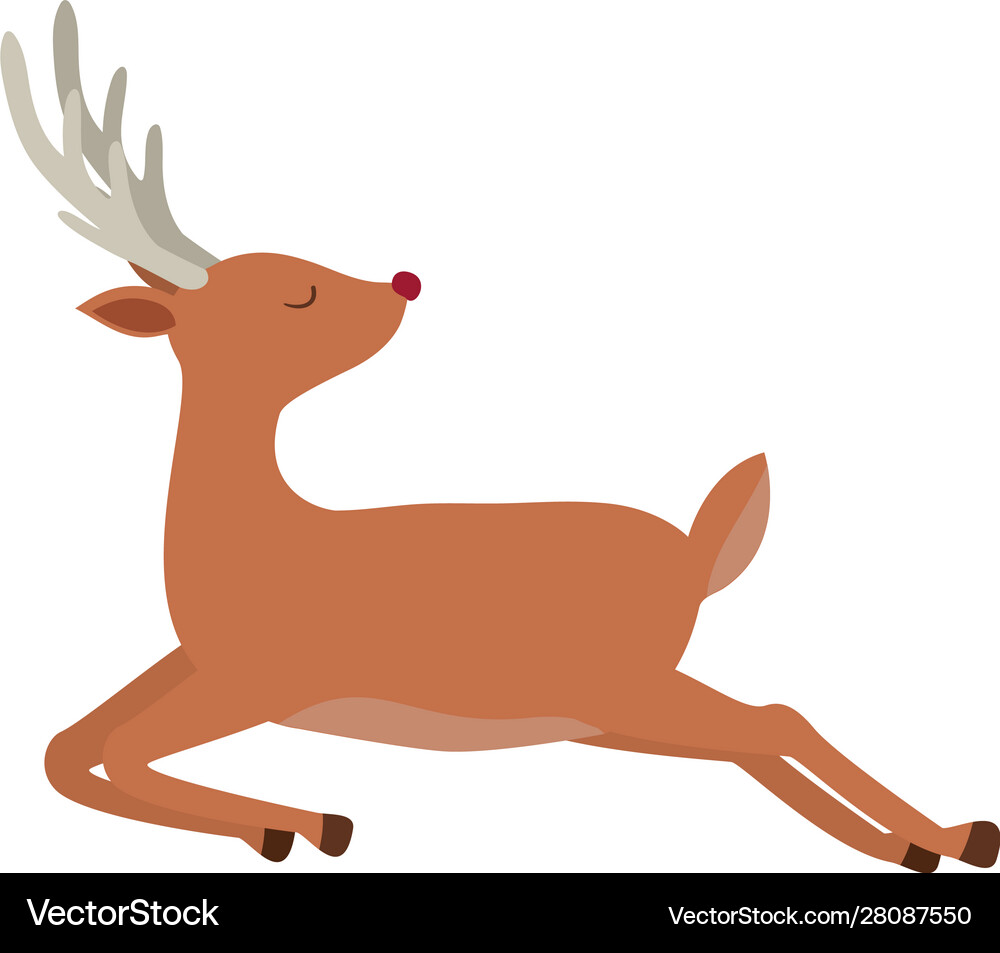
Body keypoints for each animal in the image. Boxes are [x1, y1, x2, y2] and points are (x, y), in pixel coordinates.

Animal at [3, 3, 996, 872]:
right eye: (299, 293)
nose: (402, 281)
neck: (253, 537)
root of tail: (694, 557)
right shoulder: (196, 666)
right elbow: (68, 746)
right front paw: (297, 823)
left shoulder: (267, 677)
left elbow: (114, 750)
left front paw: (308, 823)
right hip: (612, 713)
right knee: (758, 735)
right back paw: (924, 842)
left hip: (616, 689)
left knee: (777, 716)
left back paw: (947, 836)